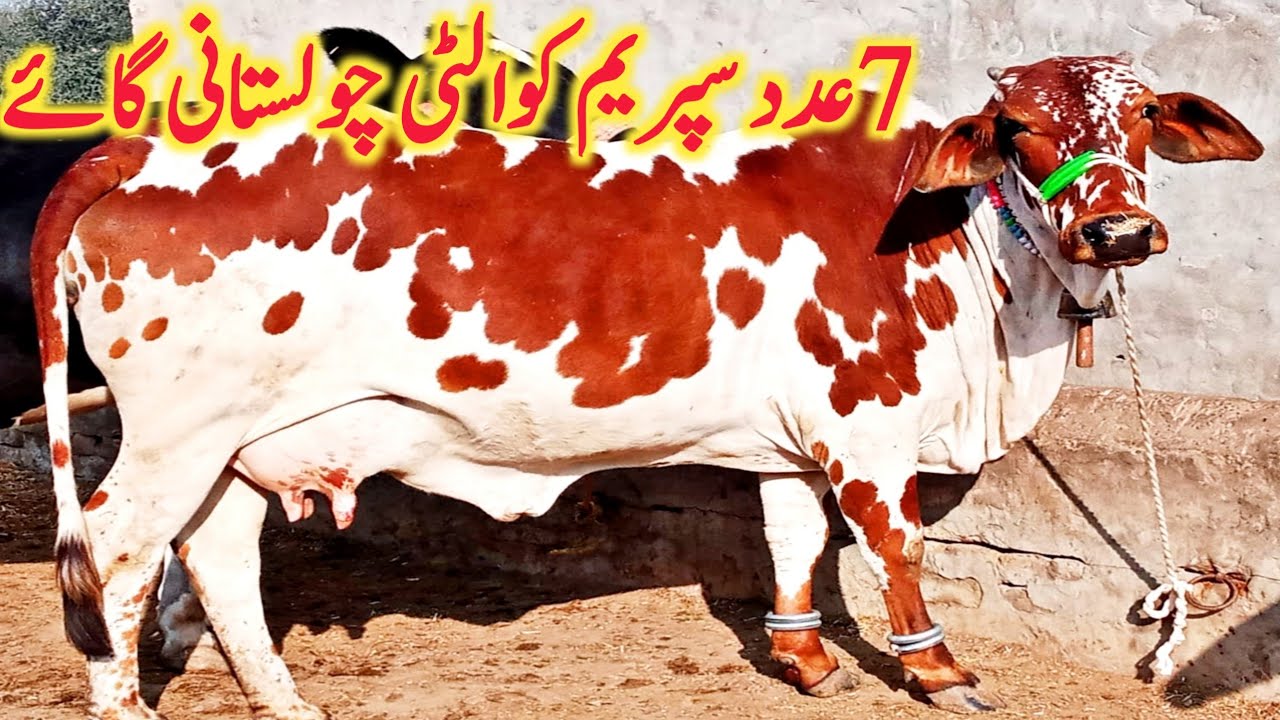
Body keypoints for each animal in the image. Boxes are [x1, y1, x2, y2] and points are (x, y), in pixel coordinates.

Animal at [30, 52, 1260, 719]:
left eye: (1140, 116)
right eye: (1020, 128)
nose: (1117, 229)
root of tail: (143, 148)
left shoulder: (790, 434)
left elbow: (789, 538)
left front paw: (803, 656)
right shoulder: (865, 421)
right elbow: (893, 544)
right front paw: (939, 670)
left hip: (238, 447)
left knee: (217, 558)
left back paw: (284, 697)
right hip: (174, 435)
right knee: (119, 557)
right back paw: (129, 701)